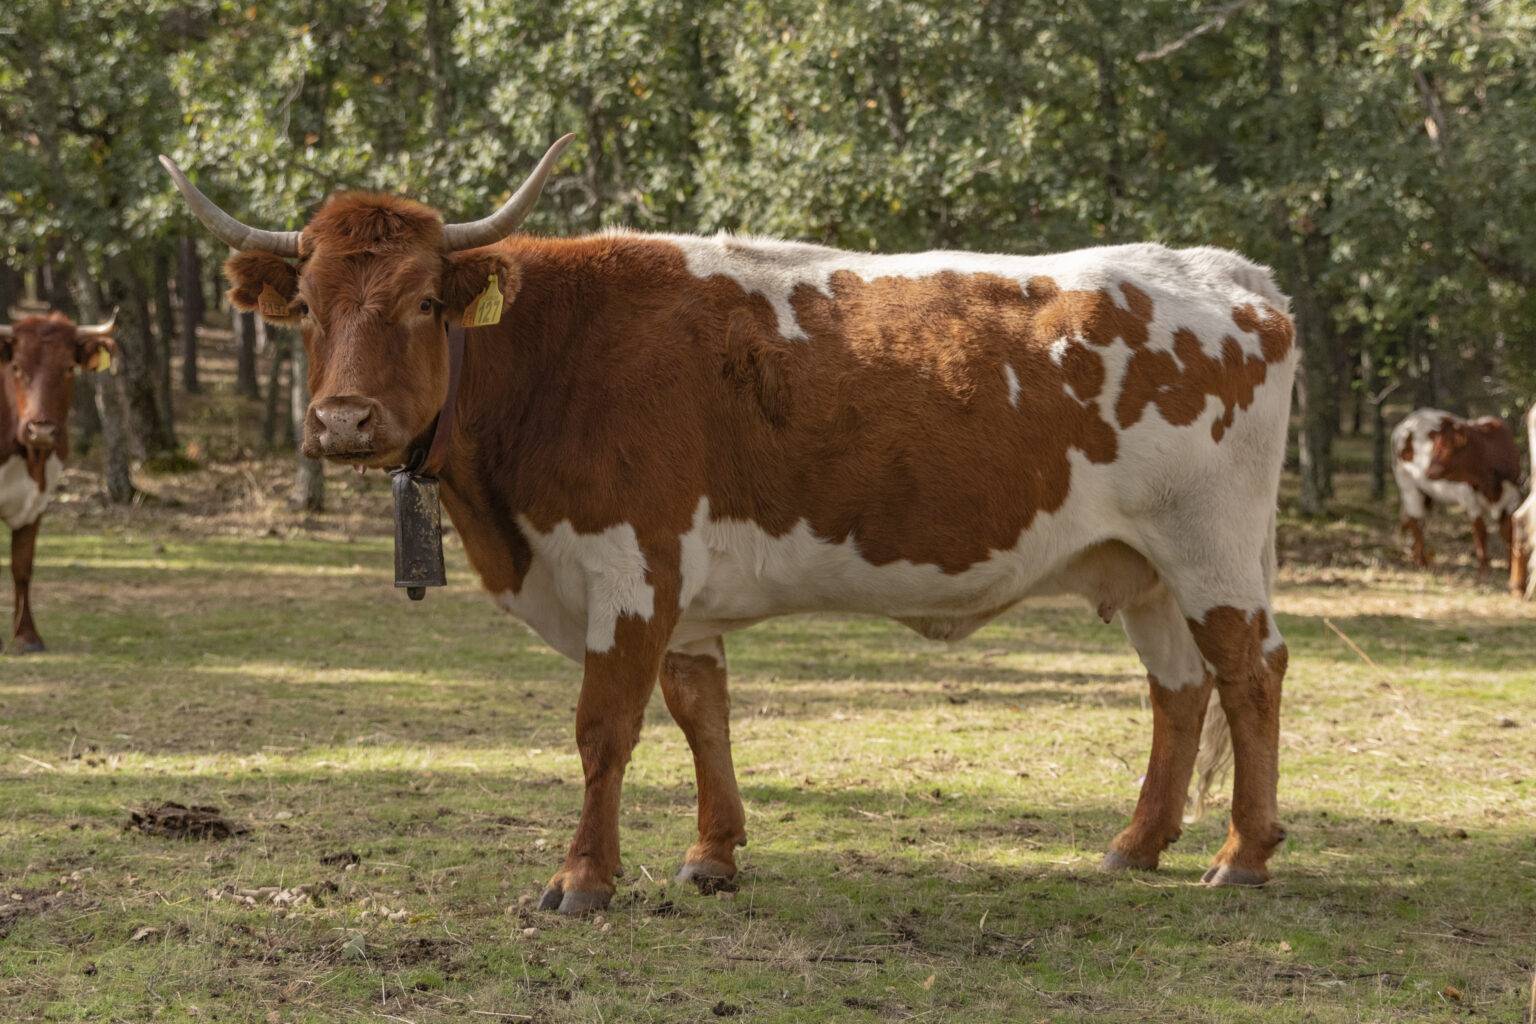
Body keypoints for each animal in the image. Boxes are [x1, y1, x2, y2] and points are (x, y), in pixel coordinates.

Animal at [0, 311, 117, 652]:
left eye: (67, 367)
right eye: (17, 367)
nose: (41, 430)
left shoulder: (37, 502)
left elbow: (22, 567)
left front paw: (27, 635)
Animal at [163, 137, 1297, 913]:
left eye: (423, 304)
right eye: (308, 308)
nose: (342, 421)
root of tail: (1229, 275)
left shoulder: (629, 564)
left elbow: (605, 725)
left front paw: (584, 878)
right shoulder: (677, 589)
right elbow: (699, 711)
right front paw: (711, 855)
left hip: (1212, 551)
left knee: (1247, 673)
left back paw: (1240, 857)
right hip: (1141, 564)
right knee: (1178, 688)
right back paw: (1137, 844)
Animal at [1391, 408, 1524, 575]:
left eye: (1446, 448)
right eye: (1434, 447)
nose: (1429, 472)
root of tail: (1407, 421)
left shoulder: (1512, 498)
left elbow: (1508, 532)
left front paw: (1511, 566)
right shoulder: (1468, 497)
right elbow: (1480, 531)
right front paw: (1484, 567)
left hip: (1426, 494)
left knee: (1418, 521)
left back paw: (1417, 559)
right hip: (1408, 487)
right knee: (1416, 522)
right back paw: (1421, 563)